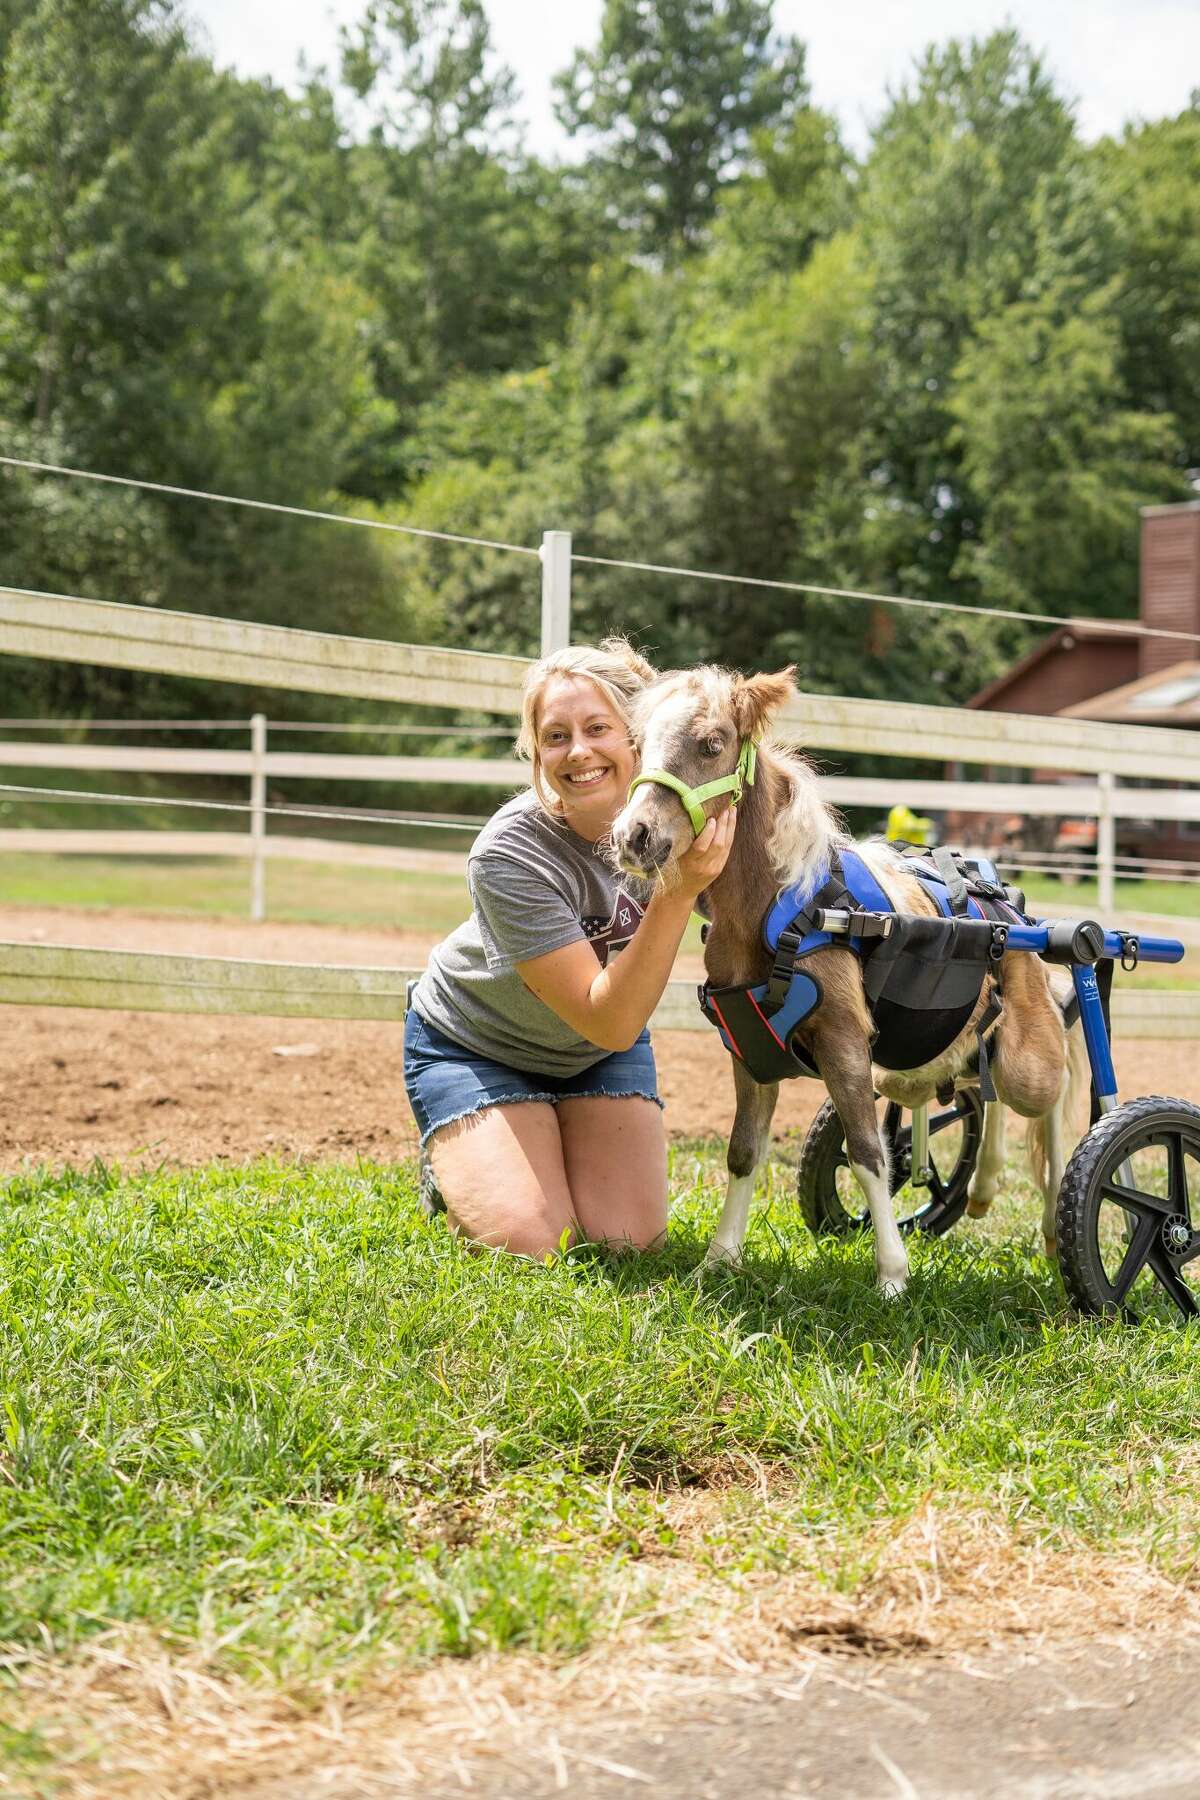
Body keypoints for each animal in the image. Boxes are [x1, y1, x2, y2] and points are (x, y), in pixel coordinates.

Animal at [611, 665, 1089, 1295]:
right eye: (638, 742)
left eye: (711, 744)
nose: (633, 836)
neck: (785, 908)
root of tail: (1009, 908)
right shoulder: (750, 1052)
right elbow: (744, 1151)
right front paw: (719, 1259)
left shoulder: (842, 1042)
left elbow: (868, 1153)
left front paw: (891, 1276)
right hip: (927, 1059)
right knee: (975, 1082)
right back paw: (984, 1187)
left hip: (1026, 1061)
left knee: (1051, 1080)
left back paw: (1056, 1219)